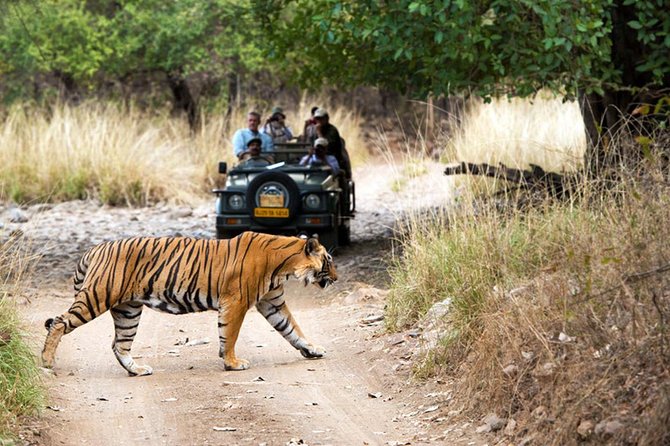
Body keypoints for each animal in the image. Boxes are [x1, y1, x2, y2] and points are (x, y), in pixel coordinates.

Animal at [41, 231, 336, 376]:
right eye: (329, 260)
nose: (336, 278)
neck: (283, 266)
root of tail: (94, 248)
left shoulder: (271, 302)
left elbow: (293, 329)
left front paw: (312, 349)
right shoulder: (237, 301)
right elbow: (230, 335)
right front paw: (232, 363)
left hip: (128, 310)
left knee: (119, 345)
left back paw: (137, 370)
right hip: (97, 296)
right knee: (59, 322)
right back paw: (46, 362)